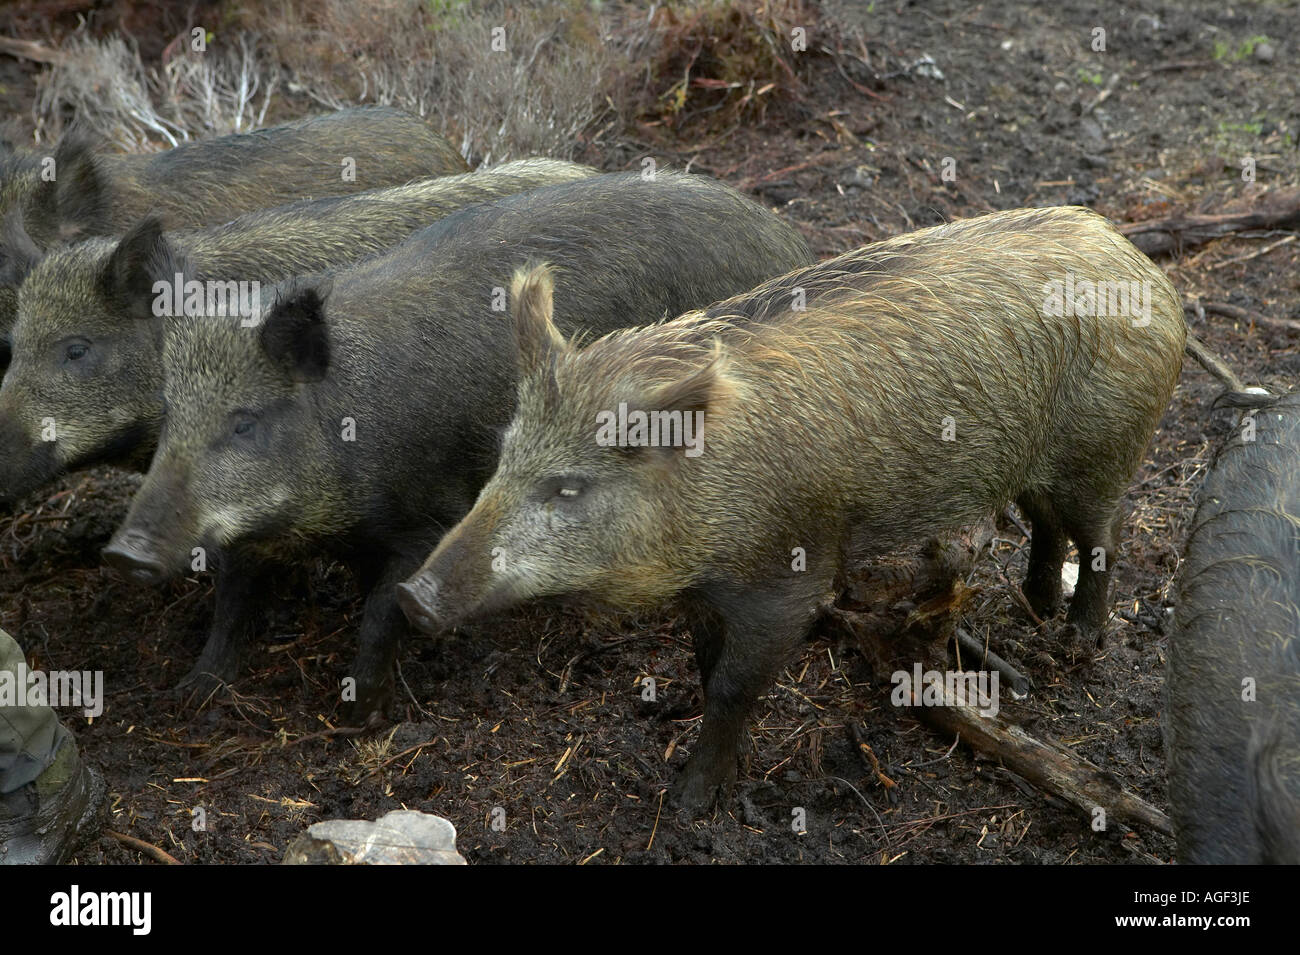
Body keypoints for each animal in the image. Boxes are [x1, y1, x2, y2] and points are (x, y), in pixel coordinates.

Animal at [100, 170, 814, 715]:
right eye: (171, 411)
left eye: (244, 422)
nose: (123, 553)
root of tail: (788, 238)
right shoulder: (250, 536)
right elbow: (232, 602)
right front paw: (189, 695)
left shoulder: (427, 519)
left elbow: (382, 613)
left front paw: (362, 715)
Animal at [397, 206, 1189, 810]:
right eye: (504, 456)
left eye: (568, 487)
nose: (412, 595)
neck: (705, 503)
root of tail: (1141, 265)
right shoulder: (707, 588)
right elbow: (704, 664)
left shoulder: (790, 576)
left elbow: (734, 683)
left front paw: (690, 804)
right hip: (1036, 462)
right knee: (1048, 525)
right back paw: (1035, 607)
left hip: (1107, 443)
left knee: (1107, 532)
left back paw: (1077, 641)